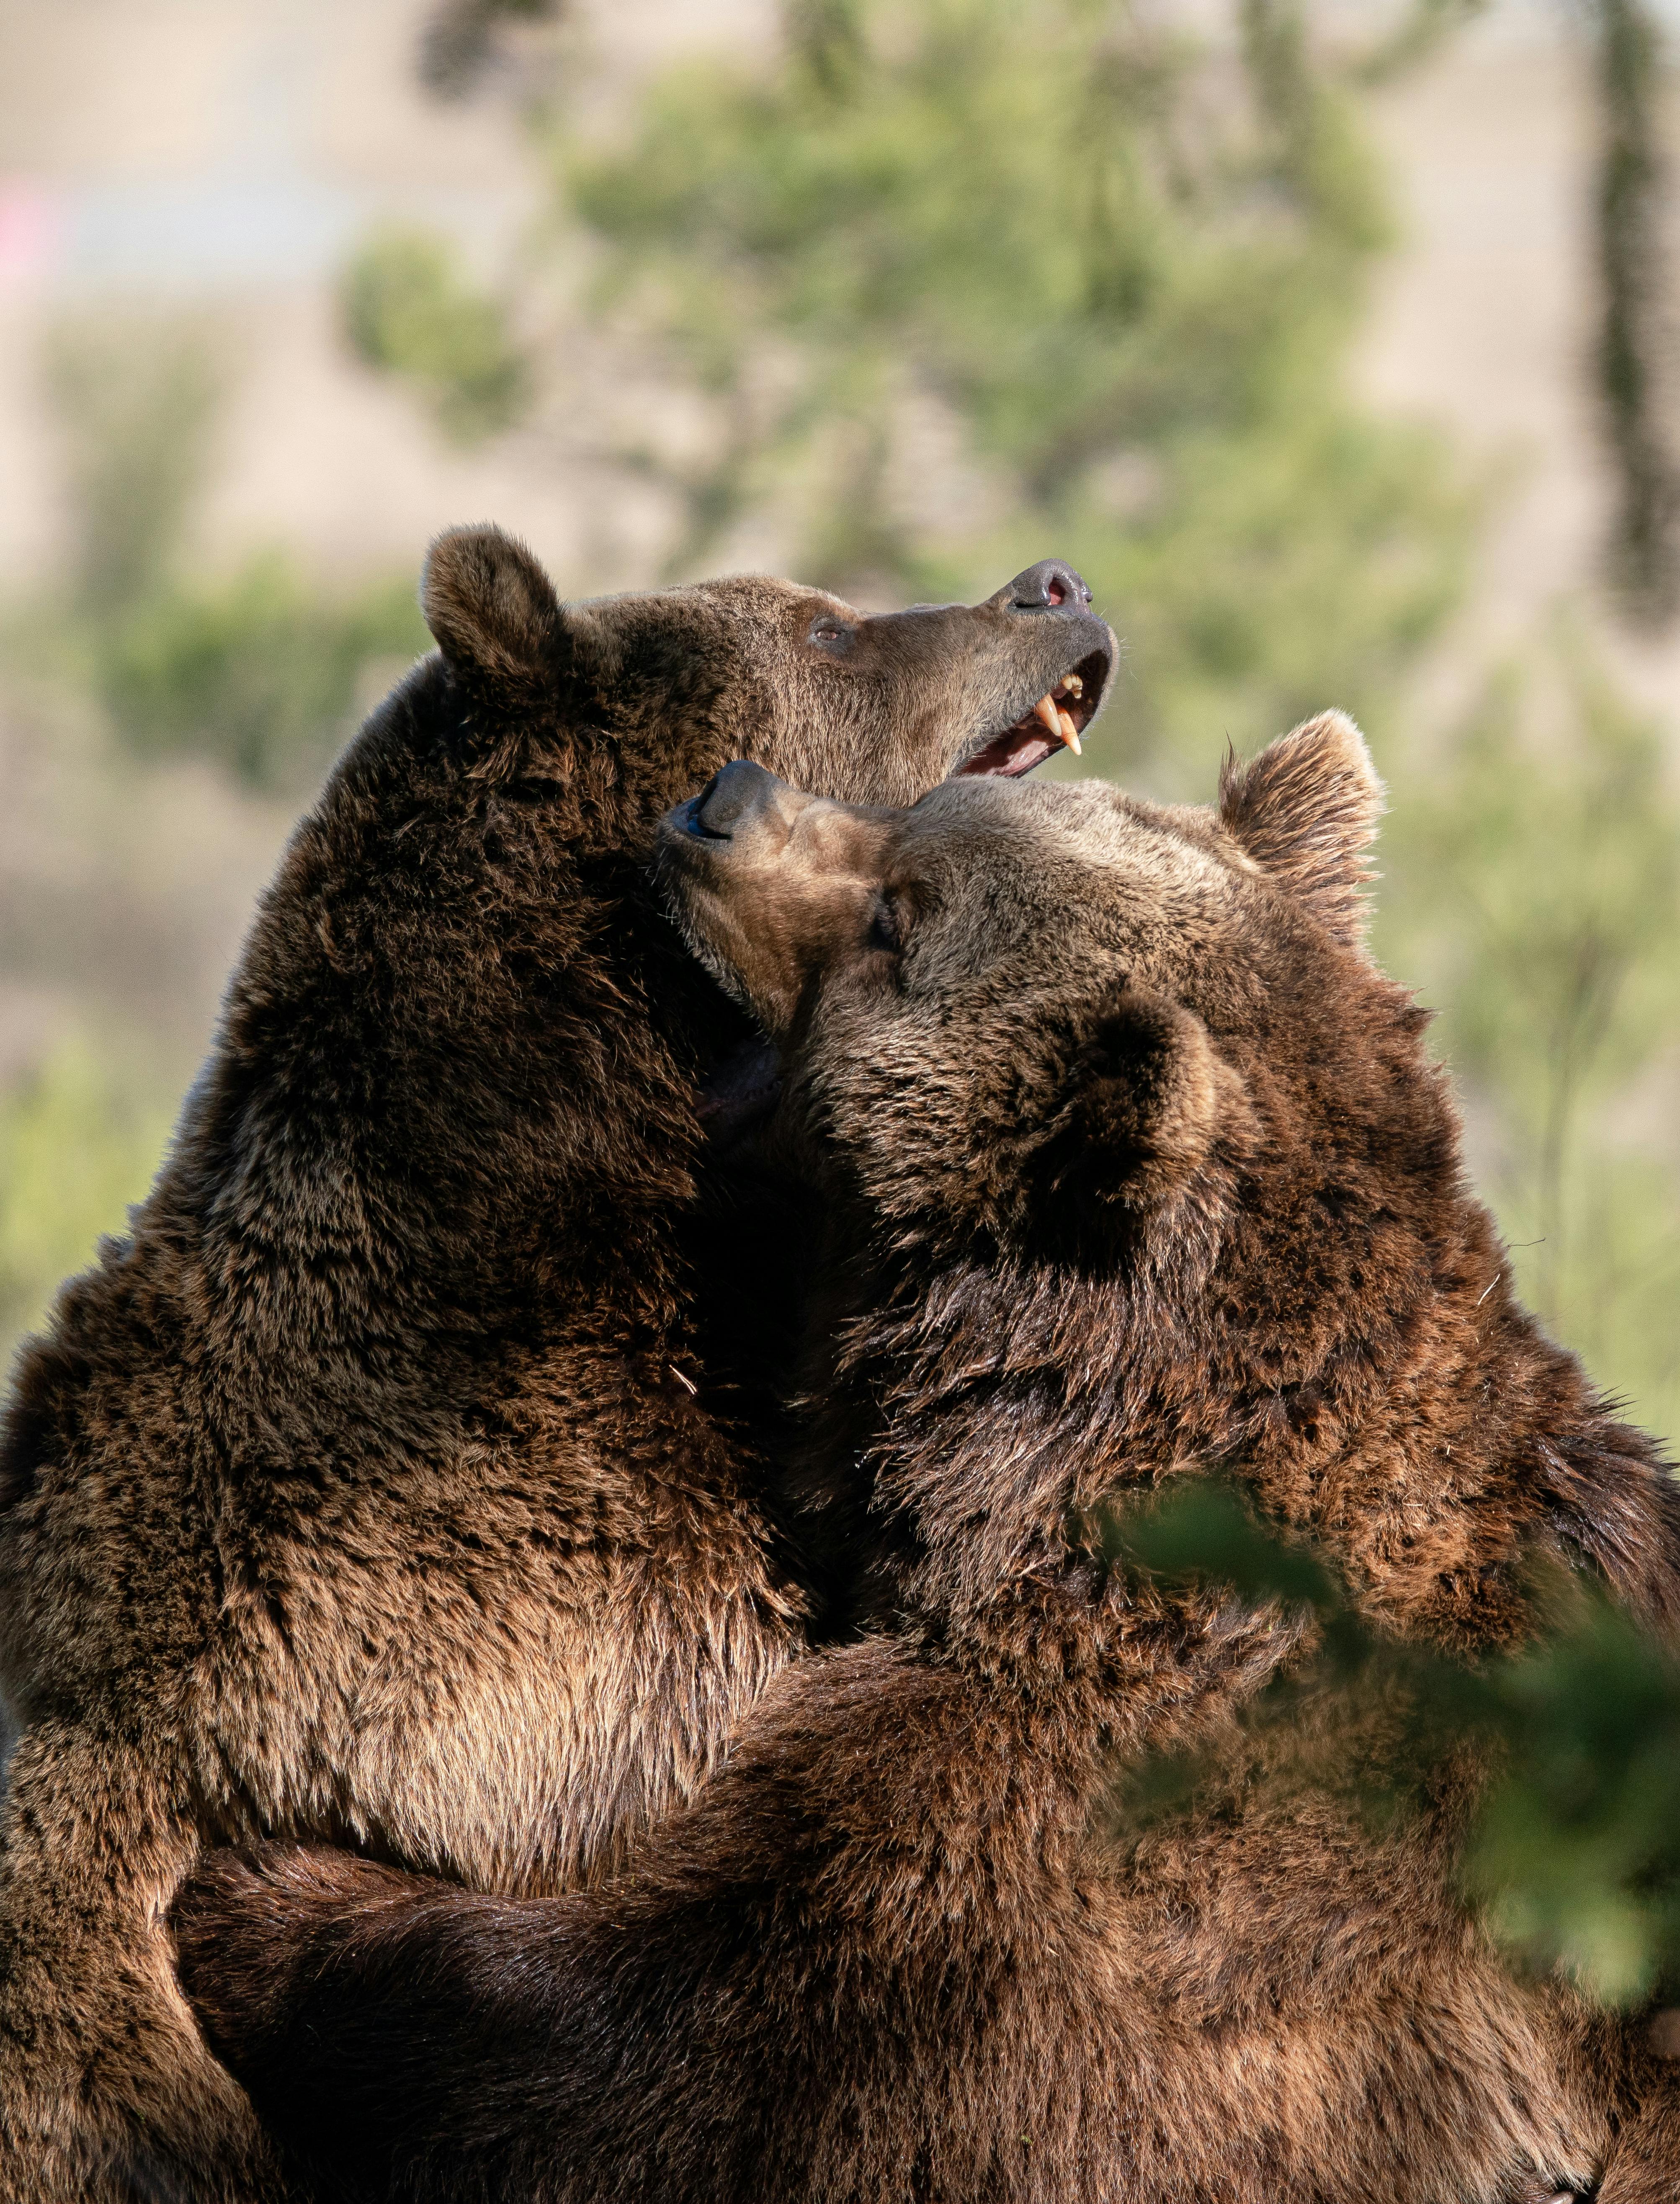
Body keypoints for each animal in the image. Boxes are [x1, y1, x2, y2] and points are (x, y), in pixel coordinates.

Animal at [172, 716, 1680, 2204]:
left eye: (898, 917)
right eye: (920, 811)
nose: (723, 801)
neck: (1025, 1472)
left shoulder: (1154, 1822)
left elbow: (732, 2040)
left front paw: (262, 1891)